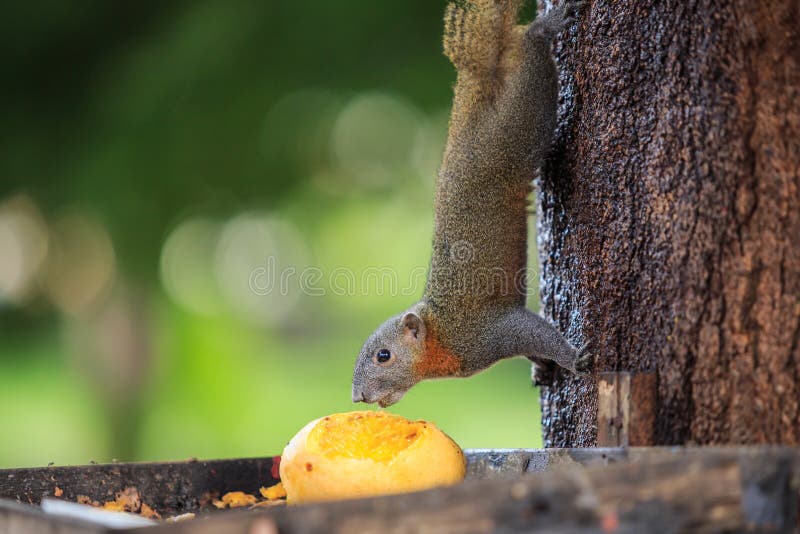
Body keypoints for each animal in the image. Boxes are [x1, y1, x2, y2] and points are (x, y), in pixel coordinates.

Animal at [352, 0, 592, 408]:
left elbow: (536, 333)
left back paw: (544, 27)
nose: (358, 397)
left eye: (384, 356)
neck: (440, 335)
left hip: (516, 128)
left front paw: (574, 358)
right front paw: (542, 369)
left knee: (531, 63)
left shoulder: (491, 331)